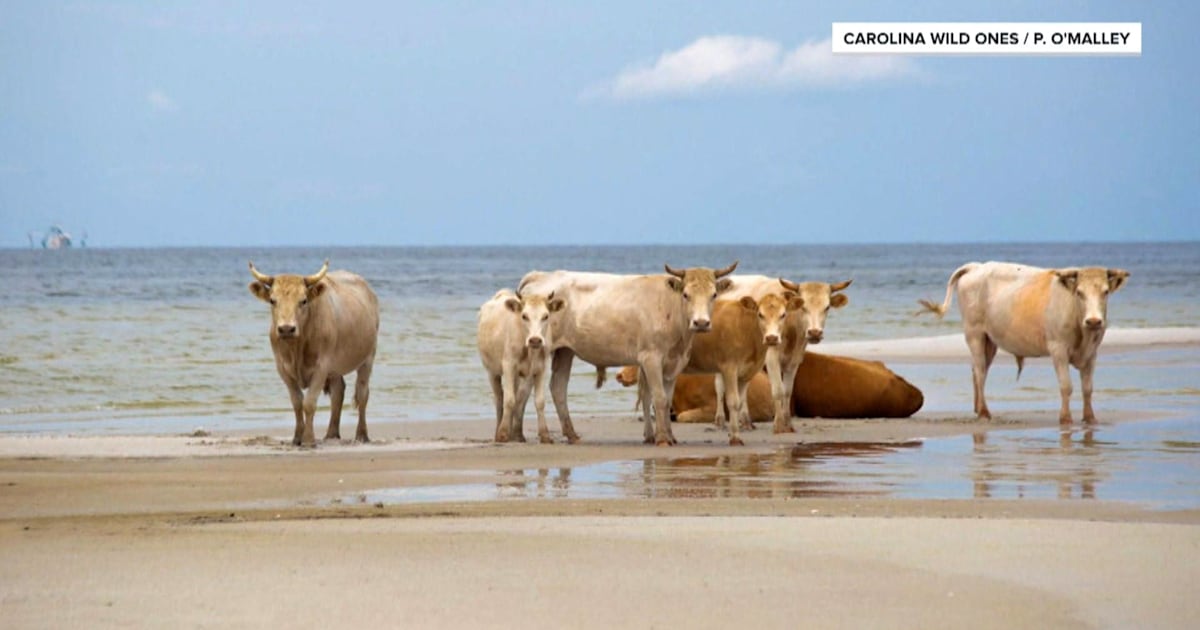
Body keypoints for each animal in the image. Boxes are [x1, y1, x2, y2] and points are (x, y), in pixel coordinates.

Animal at [248, 260, 379, 447]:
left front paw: (309, 439)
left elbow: (309, 403)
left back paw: (361, 435)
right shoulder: (283, 368)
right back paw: (331, 434)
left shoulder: (321, 367)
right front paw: (297, 437)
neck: (296, 349)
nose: (286, 329)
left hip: (368, 357)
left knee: (362, 393)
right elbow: (297, 402)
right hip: (335, 368)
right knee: (338, 392)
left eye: (303, 301)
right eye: (273, 300)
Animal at [476, 289, 568, 444]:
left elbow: (539, 401)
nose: (535, 340)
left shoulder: (541, 369)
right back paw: (499, 430)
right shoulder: (508, 366)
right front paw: (503, 434)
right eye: (524, 316)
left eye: (546, 316)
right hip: (492, 371)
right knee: (499, 398)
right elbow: (509, 400)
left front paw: (545, 435)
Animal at [517, 261, 738, 446]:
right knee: (529, 387)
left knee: (558, 388)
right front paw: (662, 439)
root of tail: (541, 275)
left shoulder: (674, 363)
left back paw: (569, 434)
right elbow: (659, 398)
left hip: (565, 351)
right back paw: (537, 435)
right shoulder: (651, 358)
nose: (701, 323)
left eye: (713, 295)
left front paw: (670, 436)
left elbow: (666, 400)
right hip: (539, 347)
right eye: (686, 294)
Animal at [717, 276, 851, 433]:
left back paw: (746, 421)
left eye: (827, 307)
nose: (814, 333)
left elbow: (787, 391)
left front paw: (788, 424)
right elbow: (778, 390)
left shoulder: (794, 362)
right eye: (803, 307)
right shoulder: (771, 359)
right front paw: (779, 425)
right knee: (719, 386)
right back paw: (720, 420)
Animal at [917, 262, 1129, 424]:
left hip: (989, 340)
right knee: (980, 371)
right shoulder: (1058, 349)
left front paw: (1090, 418)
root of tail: (976, 266)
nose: (1093, 321)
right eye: (1079, 292)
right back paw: (985, 412)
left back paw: (978, 409)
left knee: (978, 371)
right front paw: (1065, 418)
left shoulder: (1092, 353)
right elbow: (1066, 386)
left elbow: (1088, 388)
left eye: (1106, 292)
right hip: (974, 333)